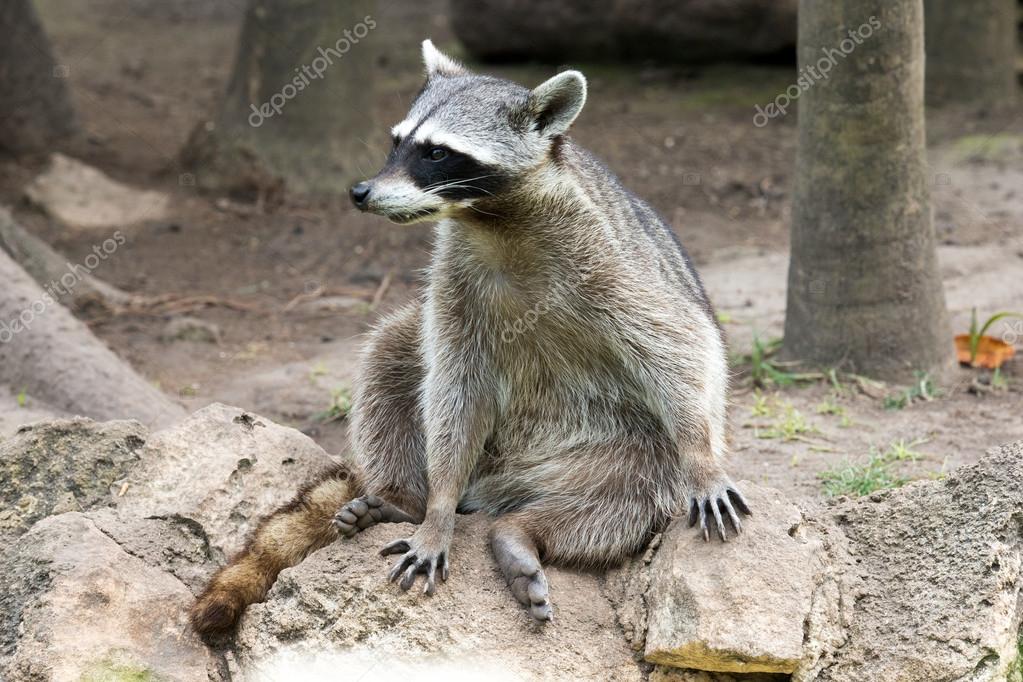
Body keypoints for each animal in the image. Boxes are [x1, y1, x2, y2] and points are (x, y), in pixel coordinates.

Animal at [191, 39, 750, 635]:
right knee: (393, 355)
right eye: (397, 141)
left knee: (636, 489)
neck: (492, 218)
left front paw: (701, 455)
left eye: (437, 153)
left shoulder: (608, 261)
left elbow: (680, 343)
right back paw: (408, 499)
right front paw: (438, 506)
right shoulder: (455, 280)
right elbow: (453, 384)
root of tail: (508, 486)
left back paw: (526, 531)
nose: (361, 192)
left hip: (617, 439)